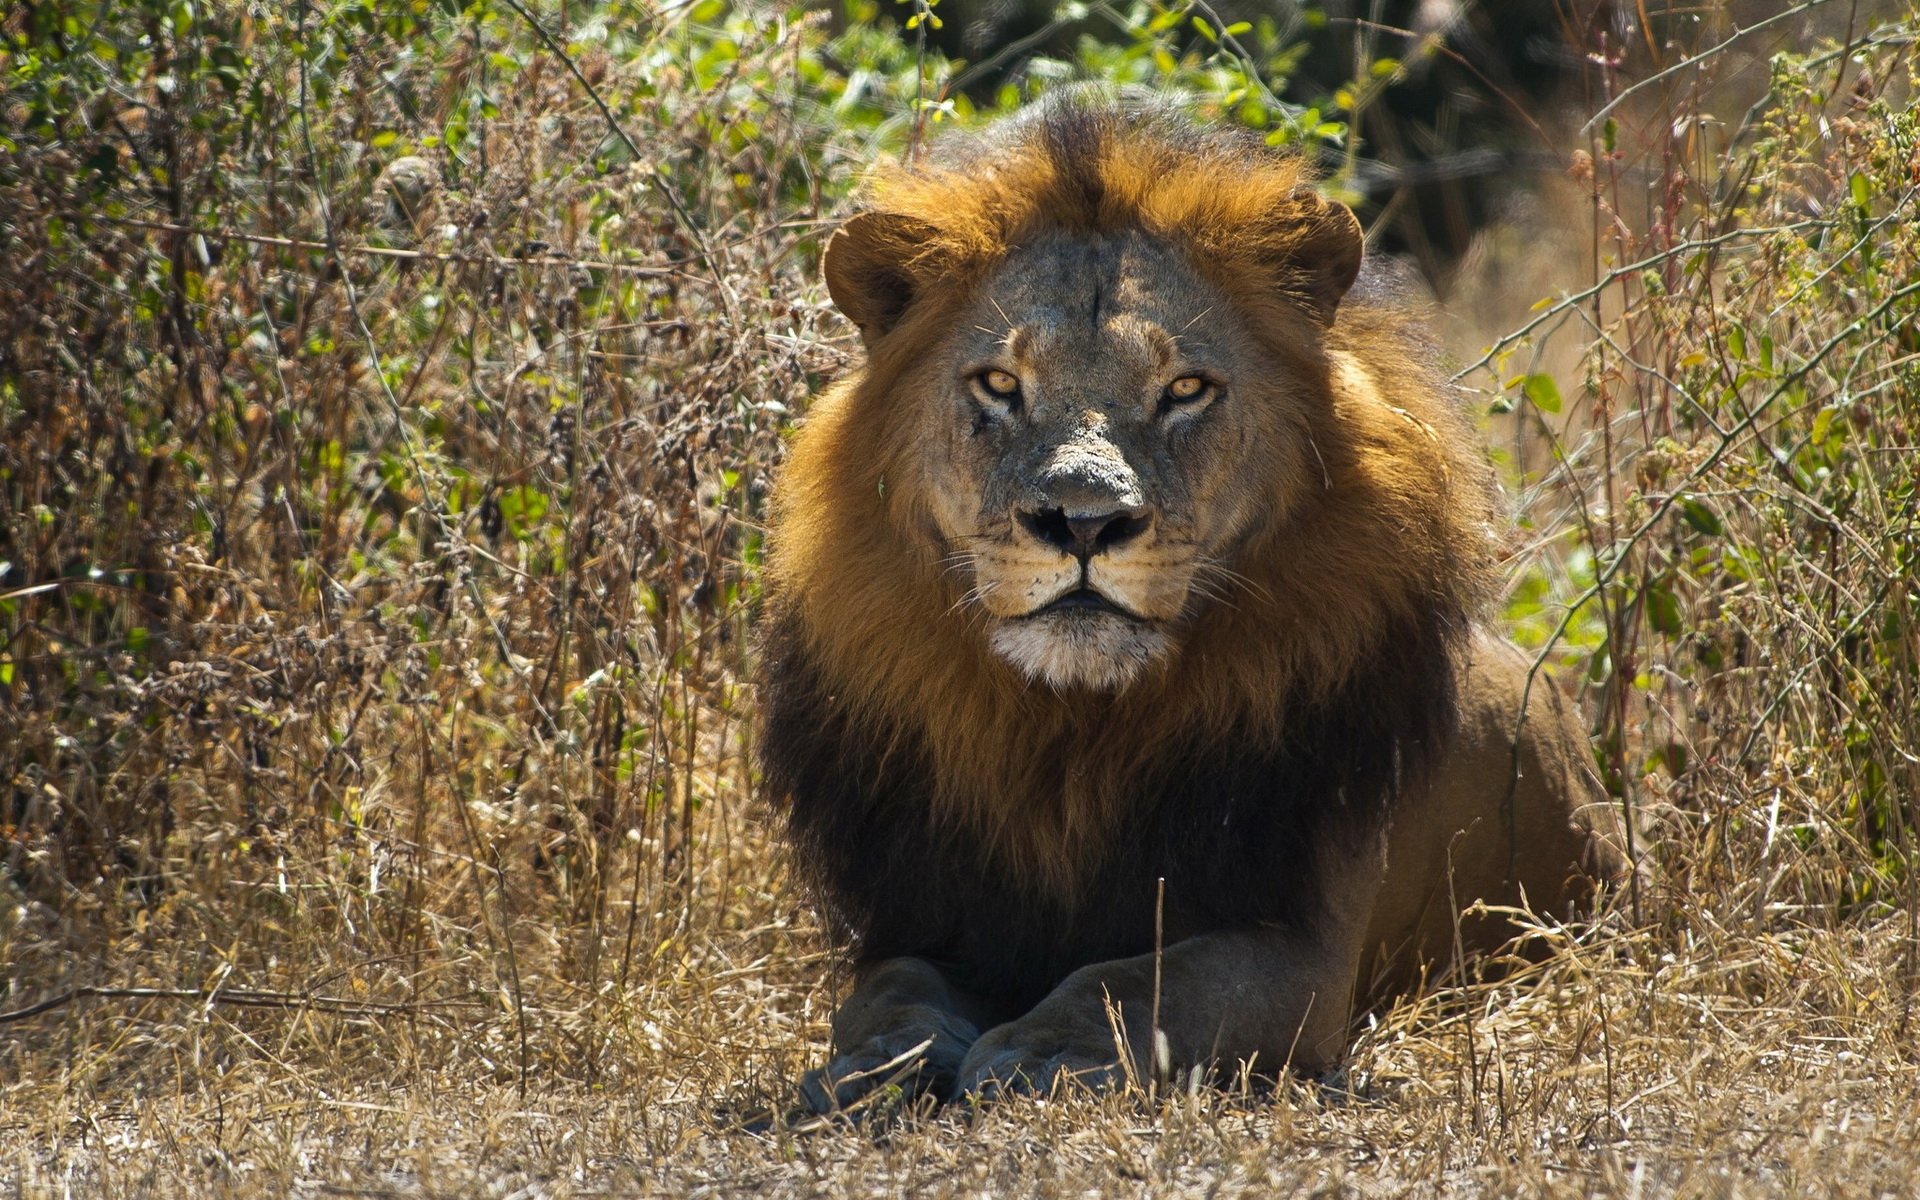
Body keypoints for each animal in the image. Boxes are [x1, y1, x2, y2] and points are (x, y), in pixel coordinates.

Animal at [758, 89, 1627, 1110]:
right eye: (1001, 384)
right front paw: (877, 1063)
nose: (1082, 520)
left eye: (1184, 389)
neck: (1065, 734)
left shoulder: (1301, 949)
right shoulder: (922, 915)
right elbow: (888, 990)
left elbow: (1142, 980)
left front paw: (1041, 1052)